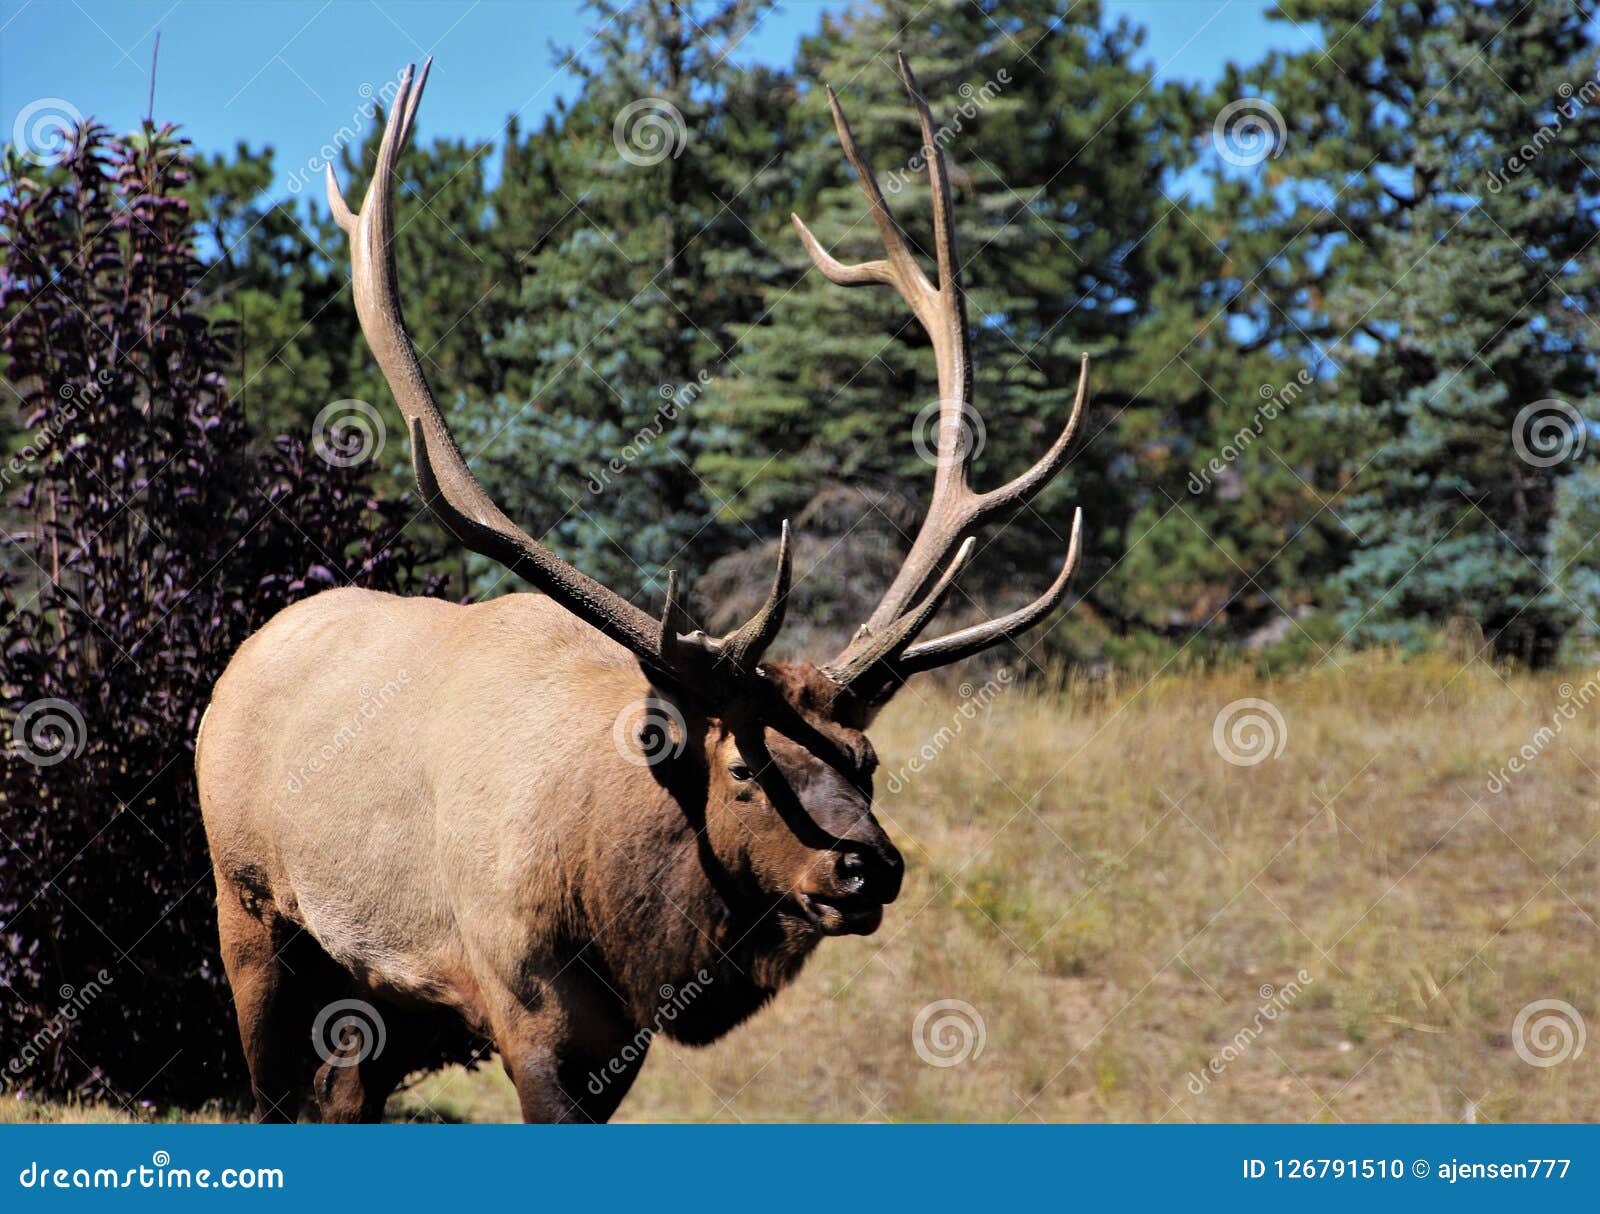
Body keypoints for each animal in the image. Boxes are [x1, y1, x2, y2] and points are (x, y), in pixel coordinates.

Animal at [196, 54, 1086, 1123]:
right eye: (746, 769)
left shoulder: (616, 1043)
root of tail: (238, 664)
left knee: (346, 1095)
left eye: (868, 759)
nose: (868, 864)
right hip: (250, 909)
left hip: (379, 987)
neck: (624, 932)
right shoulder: (523, 1003)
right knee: (270, 1084)